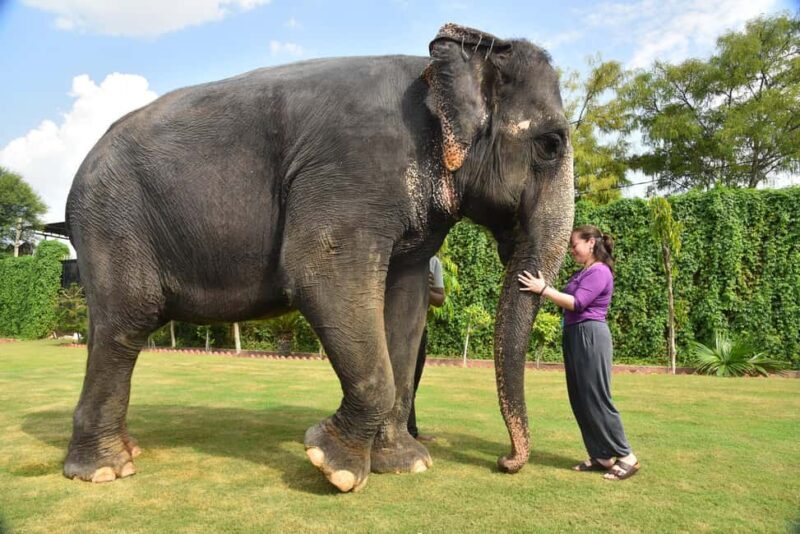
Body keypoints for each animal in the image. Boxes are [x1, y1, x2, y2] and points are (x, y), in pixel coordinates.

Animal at [63, 23, 574, 492]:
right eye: (550, 145)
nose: (506, 463)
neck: (433, 77)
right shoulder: (351, 172)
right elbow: (319, 274)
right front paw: (335, 467)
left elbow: (405, 306)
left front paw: (405, 464)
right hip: (112, 219)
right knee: (127, 322)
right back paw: (105, 470)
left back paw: (126, 452)